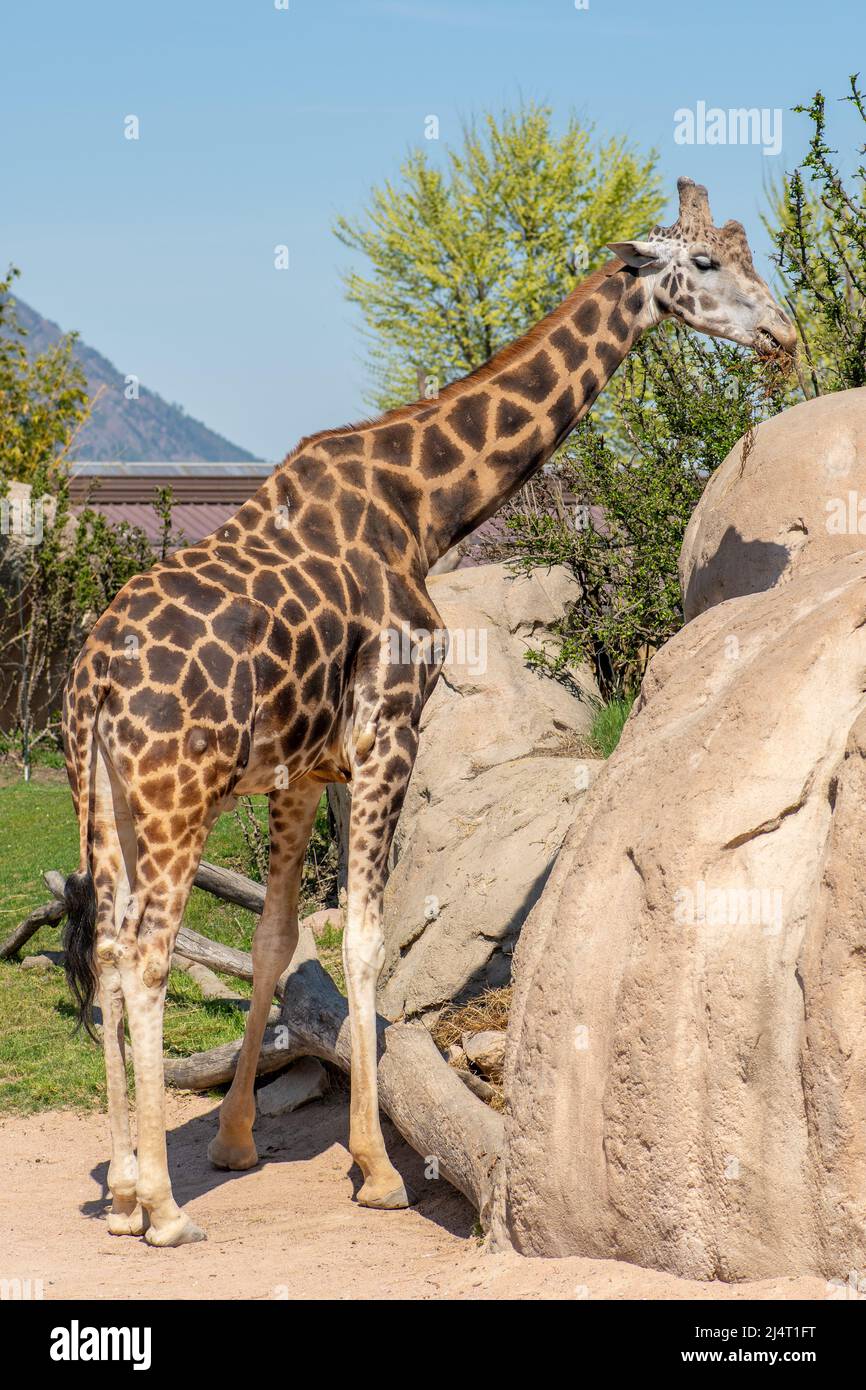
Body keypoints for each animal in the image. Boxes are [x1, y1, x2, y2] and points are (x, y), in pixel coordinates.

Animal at [62, 177, 795, 1246]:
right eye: (703, 264)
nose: (785, 334)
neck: (424, 507)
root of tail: (97, 682)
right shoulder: (389, 736)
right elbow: (367, 942)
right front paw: (376, 1170)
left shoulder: (300, 771)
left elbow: (280, 940)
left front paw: (236, 1139)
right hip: (176, 797)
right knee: (149, 950)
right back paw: (161, 1206)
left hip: (104, 798)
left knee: (113, 947)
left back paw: (119, 1189)